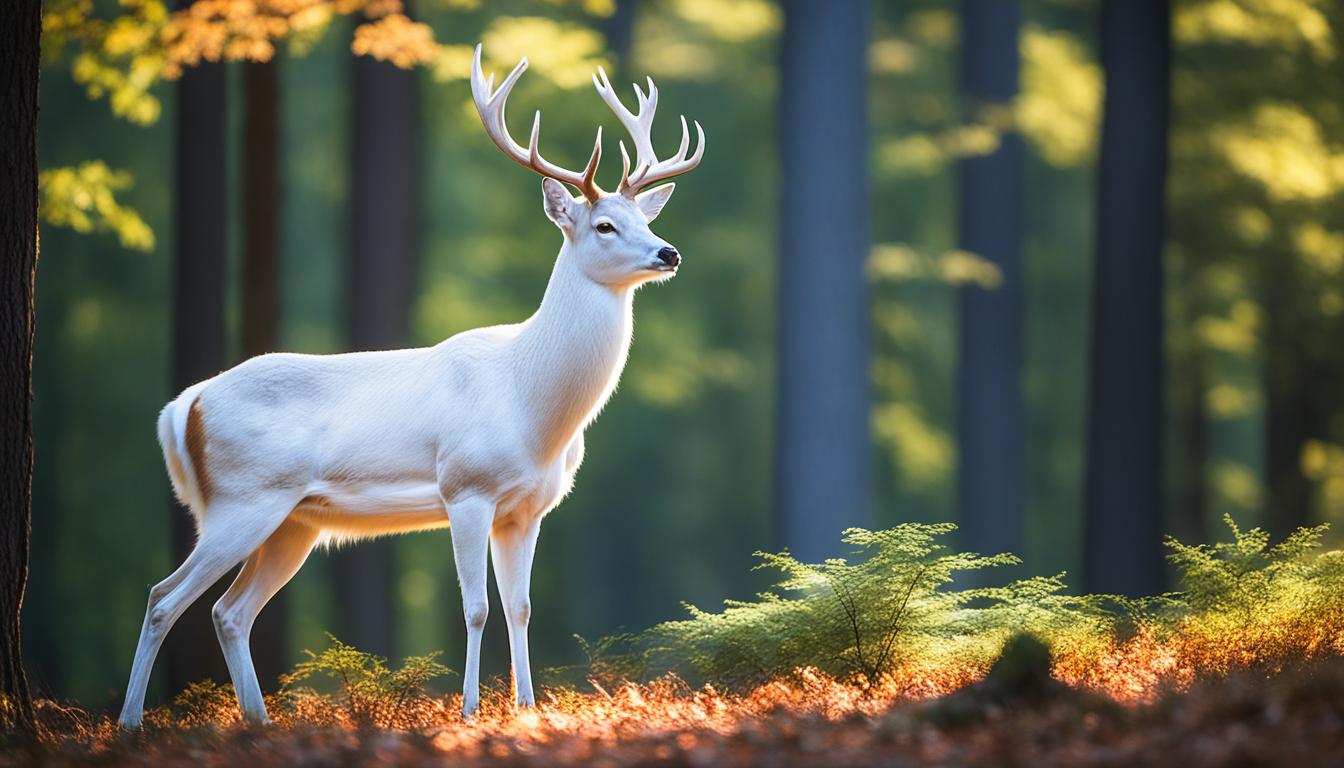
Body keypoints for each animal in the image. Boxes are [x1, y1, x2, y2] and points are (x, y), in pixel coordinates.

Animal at [117, 43, 704, 729]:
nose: (668, 253)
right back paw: (130, 723)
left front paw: (528, 709)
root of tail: (184, 404)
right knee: (163, 596)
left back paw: (258, 722)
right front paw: (471, 712)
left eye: (645, 216)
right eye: (605, 226)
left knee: (228, 611)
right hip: (242, 499)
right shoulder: (465, 487)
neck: (534, 408)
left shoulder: (528, 508)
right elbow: (476, 609)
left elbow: (521, 608)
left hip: (294, 521)